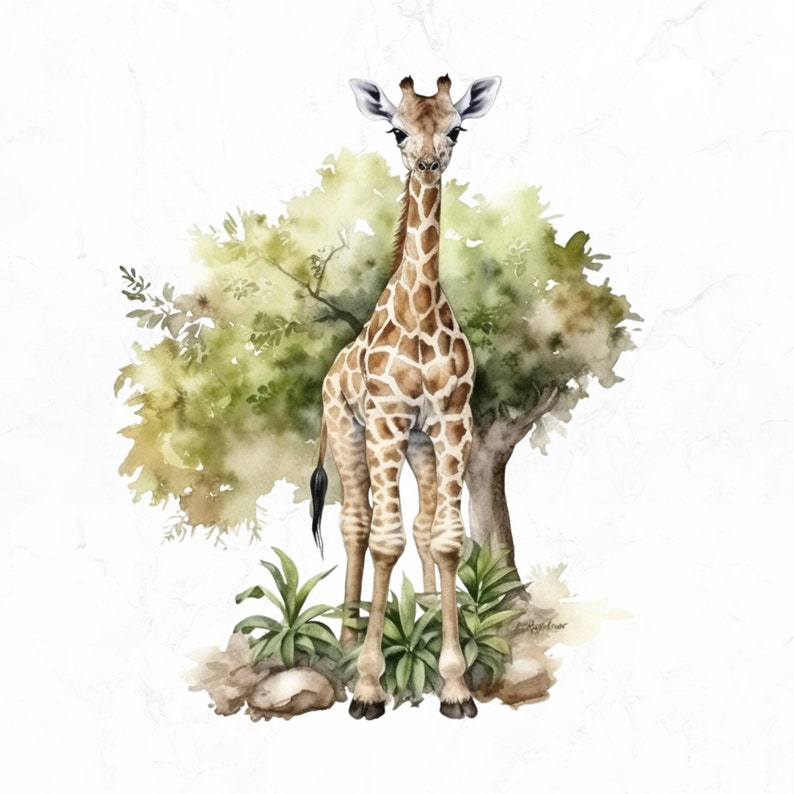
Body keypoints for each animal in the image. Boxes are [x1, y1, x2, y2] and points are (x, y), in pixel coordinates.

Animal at [310, 74, 500, 719]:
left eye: (456, 128)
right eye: (396, 129)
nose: (427, 163)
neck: (419, 308)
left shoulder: (451, 423)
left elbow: (445, 540)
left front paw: (455, 684)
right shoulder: (387, 421)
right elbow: (385, 541)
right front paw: (369, 685)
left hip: (418, 446)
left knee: (416, 527)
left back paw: (412, 620)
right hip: (348, 430)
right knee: (357, 523)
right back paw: (346, 644)